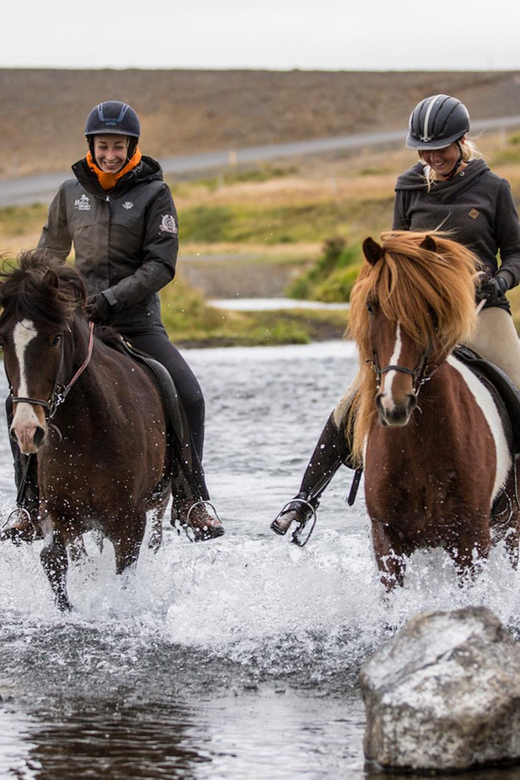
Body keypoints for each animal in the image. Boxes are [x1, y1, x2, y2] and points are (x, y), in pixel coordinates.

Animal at [0, 250, 173, 610]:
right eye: (3, 341)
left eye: (55, 338)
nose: (27, 431)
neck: (88, 431)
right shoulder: (59, 512)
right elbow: (53, 559)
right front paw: (68, 609)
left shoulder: (129, 523)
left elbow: (124, 578)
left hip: (158, 504)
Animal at [348, 231, 520, 589]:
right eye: (371, 306)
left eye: (428, 308)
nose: (395, 403)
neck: (420, 446)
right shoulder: (387, 538)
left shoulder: (471, 538)